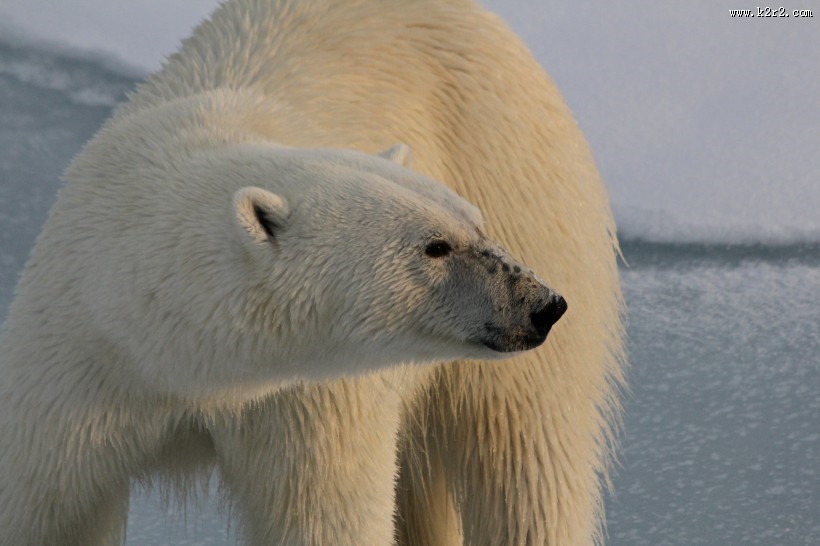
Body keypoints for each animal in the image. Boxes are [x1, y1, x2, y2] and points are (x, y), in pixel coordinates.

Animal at [0, 0, 625, 545]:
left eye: (474, 222)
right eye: (436, 246)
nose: (541, 304)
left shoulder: (307, 402)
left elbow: (325, 518)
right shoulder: (76, 372)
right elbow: (44, 511)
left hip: (519, 169)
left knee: (527, 459)